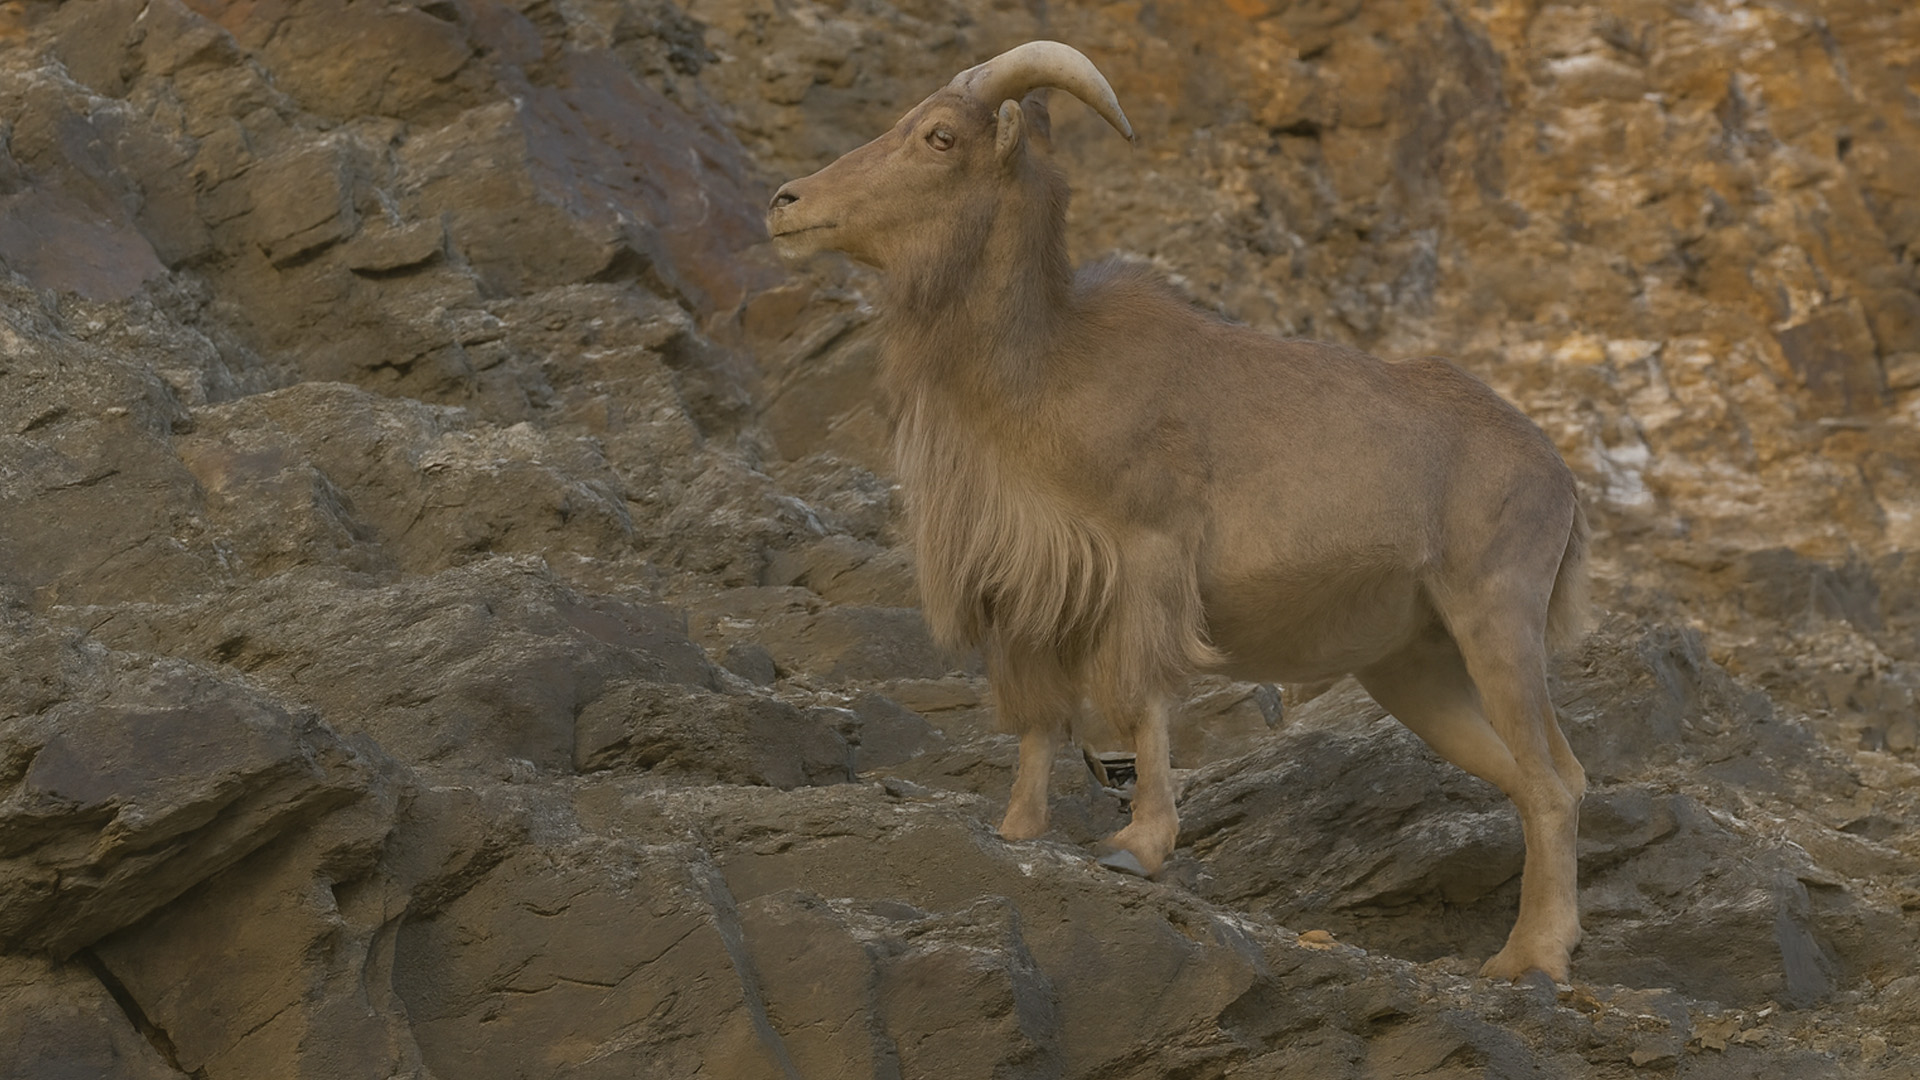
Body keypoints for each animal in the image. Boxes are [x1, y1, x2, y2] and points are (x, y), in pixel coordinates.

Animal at [766, 41, 1592, 983]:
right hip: (1412, 666)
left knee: (1554, 782)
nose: (786, 202)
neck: (1046, 368)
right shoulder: (1032, 591)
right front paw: (1017, 832)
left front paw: (1138, 847)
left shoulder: (1147, 558)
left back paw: (1533, 960)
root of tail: (1559, 476)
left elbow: (1139, 701)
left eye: (939, 136)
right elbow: (1039, 715)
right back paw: (1534, 949)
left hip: (1497, 619)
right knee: (1535, 779)